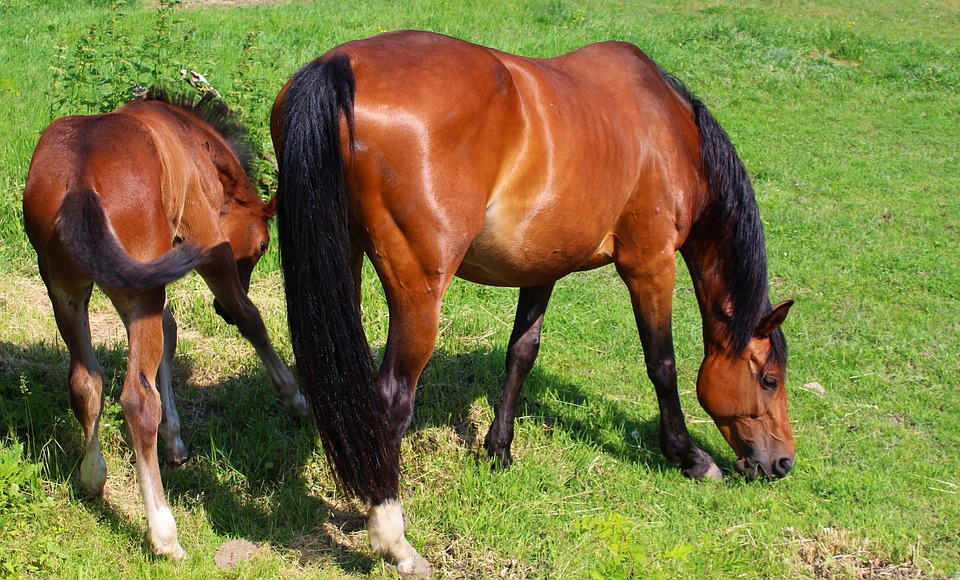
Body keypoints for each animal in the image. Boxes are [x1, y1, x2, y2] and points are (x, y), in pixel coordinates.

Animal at [22, 88, 307, 560]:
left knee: (85, 381)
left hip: (68, 293)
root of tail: (79, 183)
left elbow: (171, 337)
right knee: (137, 400)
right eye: (265, 244)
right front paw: (294, 396)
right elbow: (250, 317)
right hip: (138, 295)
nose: (217, 312)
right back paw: (164, 533)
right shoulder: (206, 242)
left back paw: (93, 476)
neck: (191, 140)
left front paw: (174, 440)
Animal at [271, 30, 795, 576]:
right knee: (391, 398)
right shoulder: (650, 264)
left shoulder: (542, 267)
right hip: (418, 298)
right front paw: (688, 456)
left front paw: (498, 450)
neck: (670, 131)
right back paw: (394, 539)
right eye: (769, 379)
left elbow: (521, 352)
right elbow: (662, 365)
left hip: (342, 262)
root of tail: (339, 64)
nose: (783, 462)